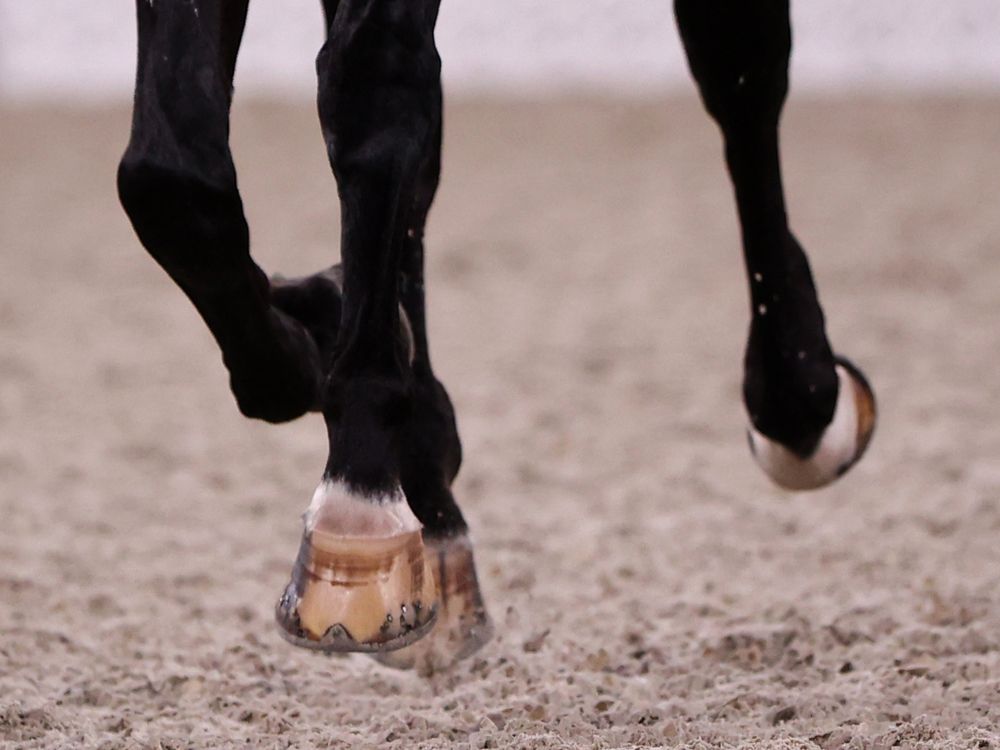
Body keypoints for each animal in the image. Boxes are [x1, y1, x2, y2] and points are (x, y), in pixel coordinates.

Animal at [116, 0, 876, 671]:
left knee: (739, 69)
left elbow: (372, 87)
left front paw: (358, 504)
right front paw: (327, 337)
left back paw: (800, 402)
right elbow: (169, 181)